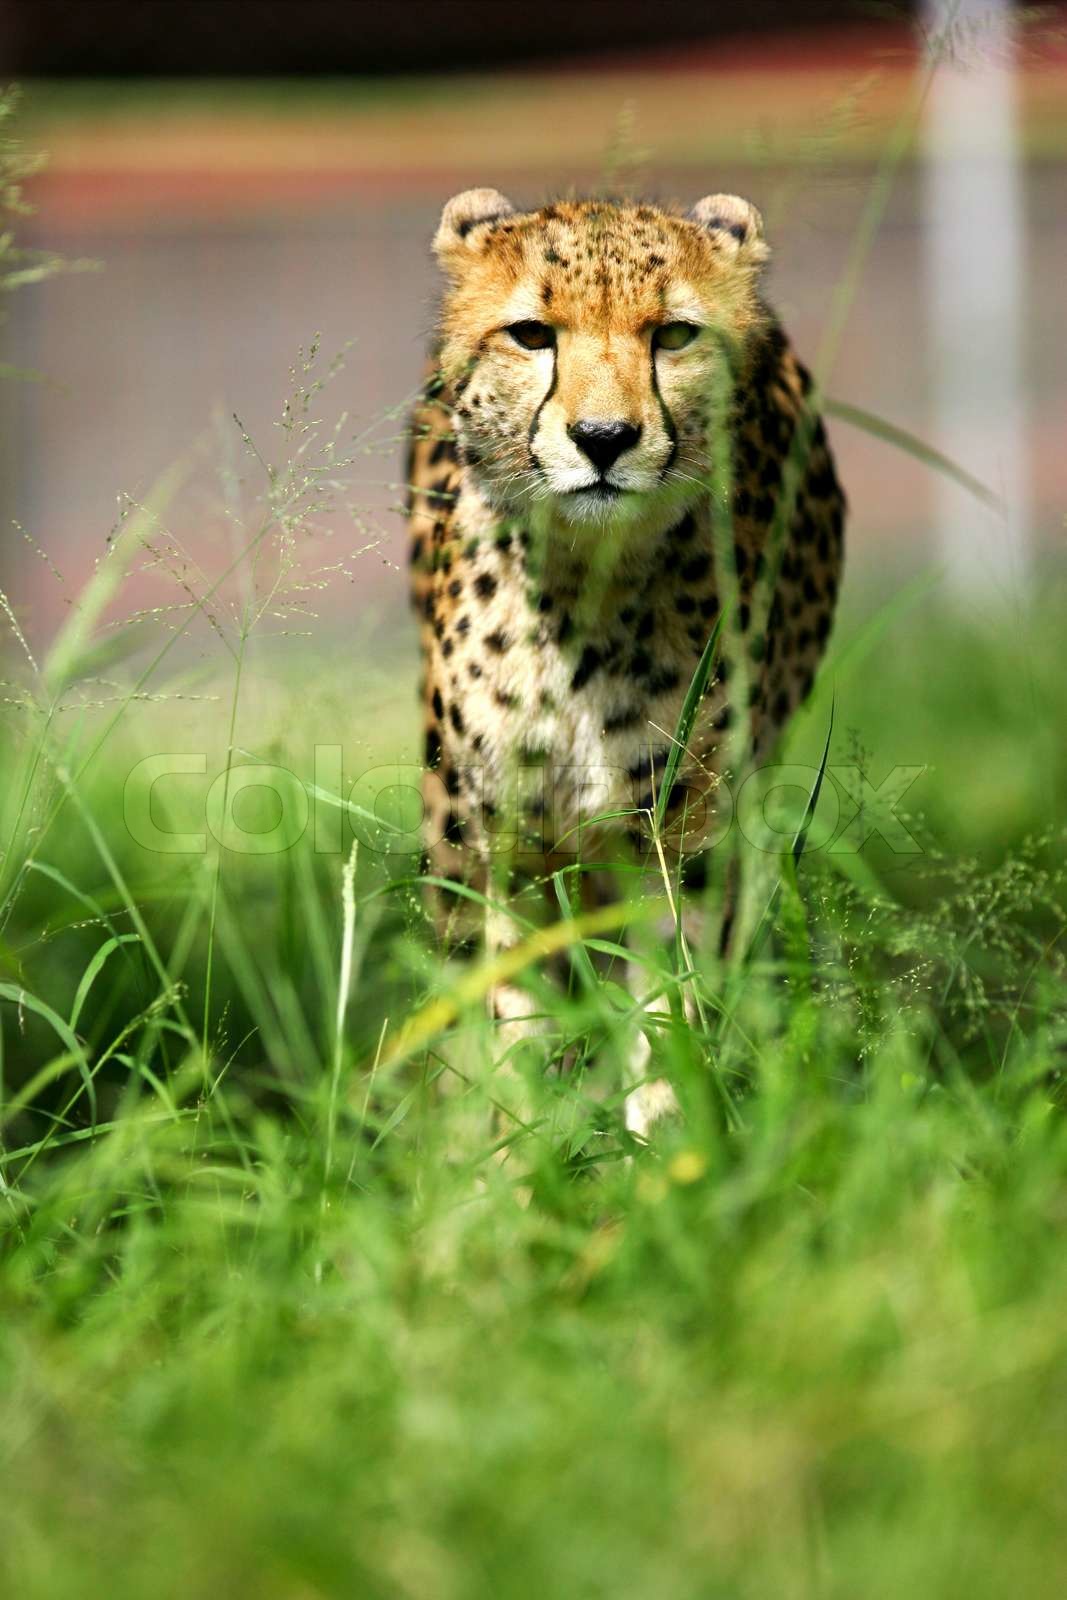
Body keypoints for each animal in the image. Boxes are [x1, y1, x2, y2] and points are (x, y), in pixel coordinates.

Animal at [405, 187, 845, 1138]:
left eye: (673, 335)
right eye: (531, 334)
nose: (602, 438)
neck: (584, 589)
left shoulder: (682, 842)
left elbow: (671, 1008)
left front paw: (664, 1152)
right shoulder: (509, 845)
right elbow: (514, 1012)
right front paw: (513, 1154)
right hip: (451, 826)